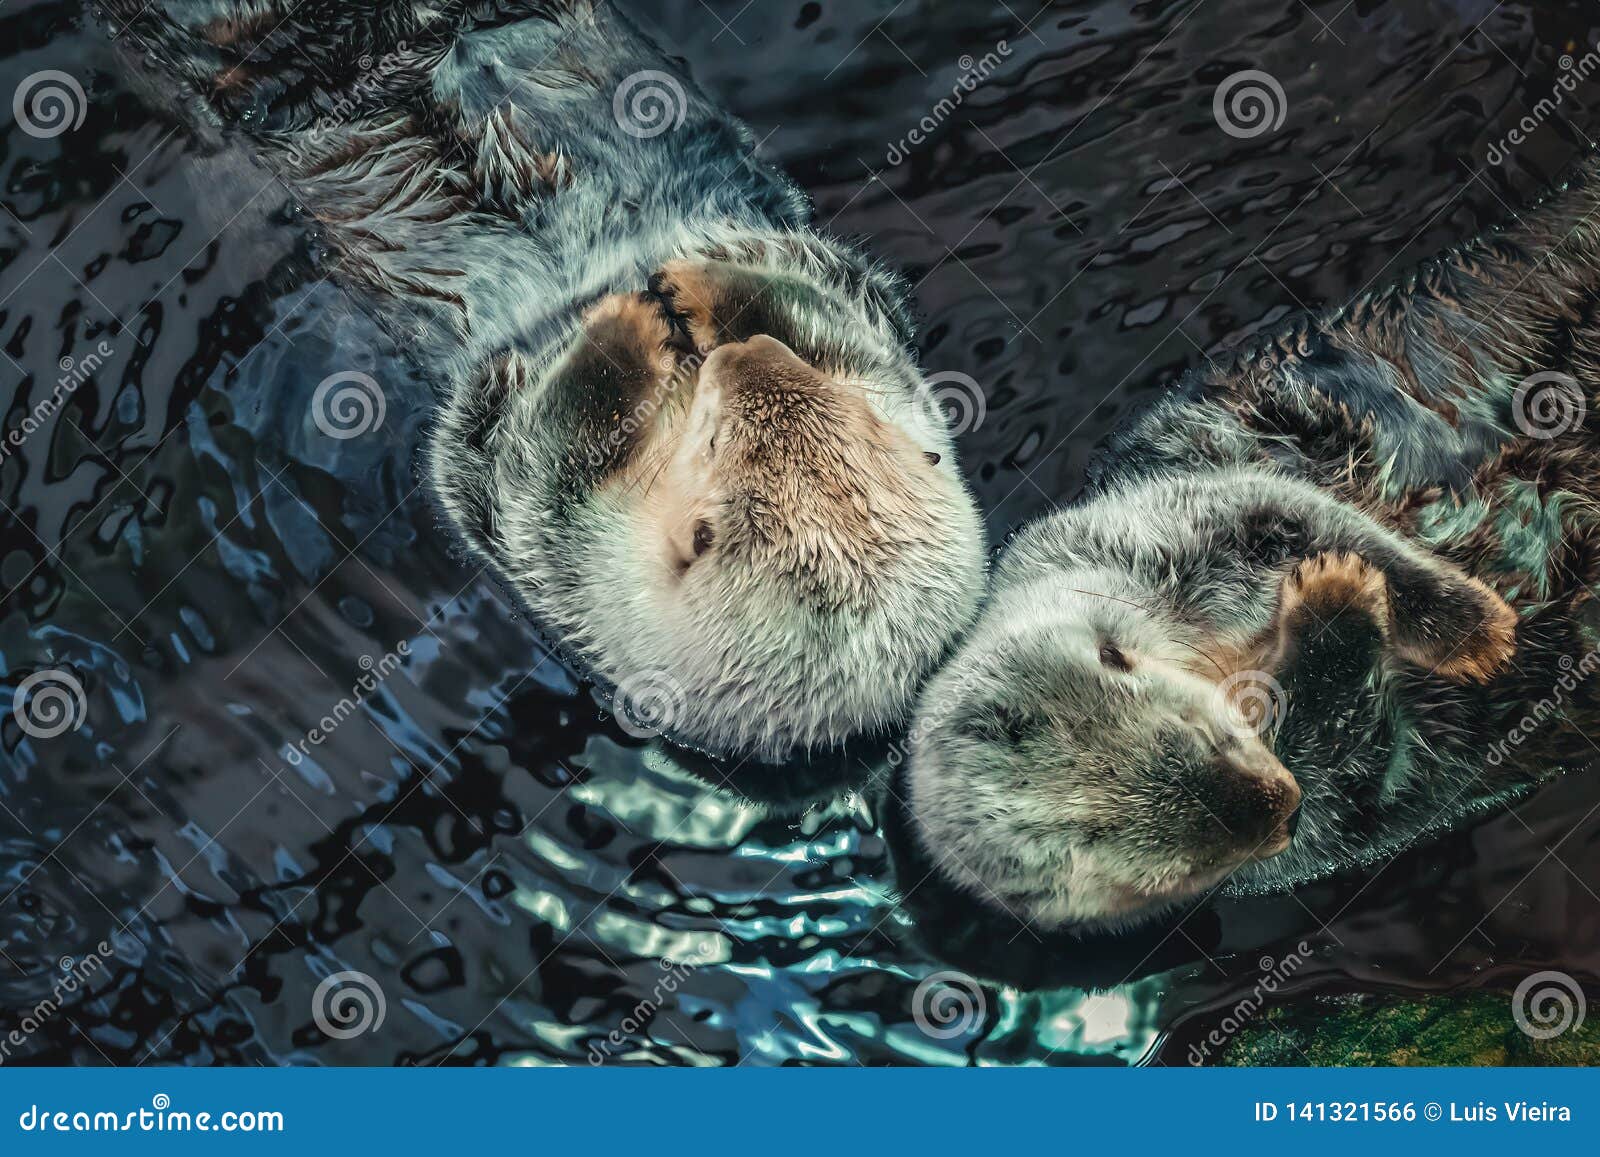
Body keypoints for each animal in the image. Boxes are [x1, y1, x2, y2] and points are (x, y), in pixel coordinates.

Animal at [110, 0, 985, 769]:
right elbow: (830, 302)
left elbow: (536, 447)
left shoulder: (552, 544)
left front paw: (628, 317)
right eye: (859, 420)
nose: (738, 356)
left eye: (713, 440)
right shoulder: (871, 336)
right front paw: (699, 284)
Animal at [899, 151, 1600, 938]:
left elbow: (1301, 516)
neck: (1223, 653)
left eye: (1206, 733)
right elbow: (1357, 756)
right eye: (1178, 867)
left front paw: (1472, 627)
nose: (1279, 807)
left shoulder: (1164, 527)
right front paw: (1337, 601)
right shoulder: (1319, 832)